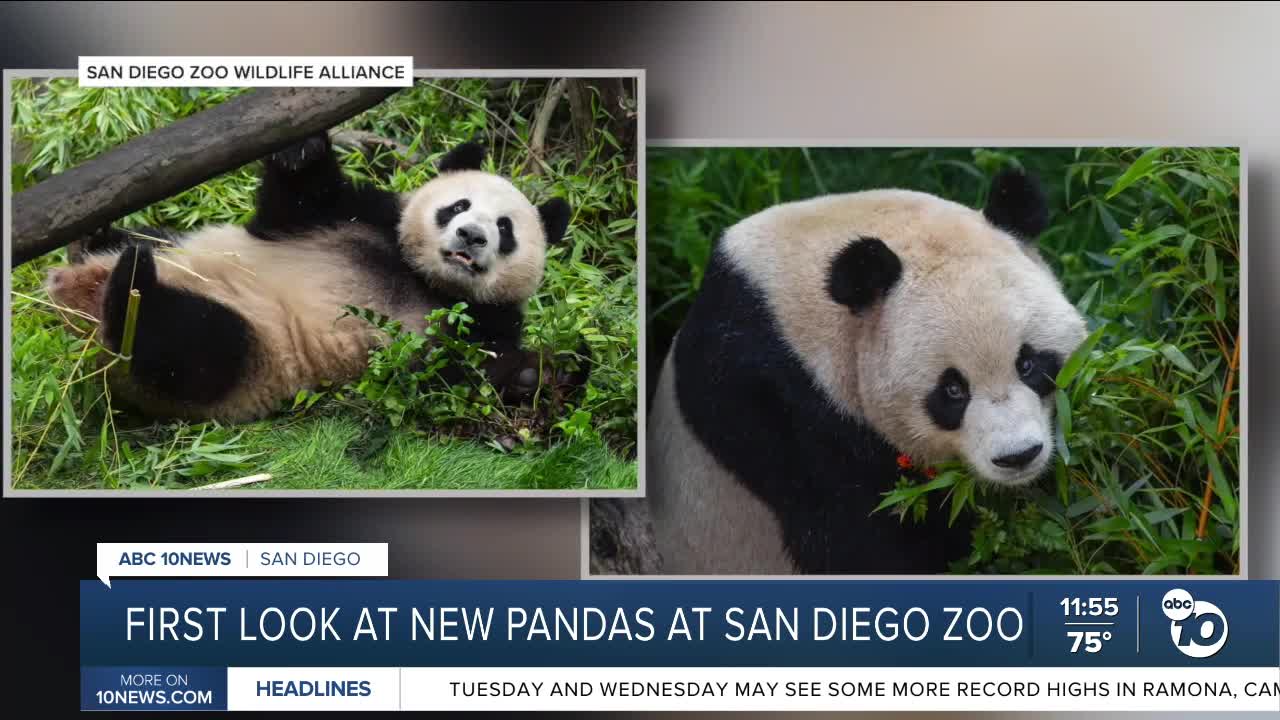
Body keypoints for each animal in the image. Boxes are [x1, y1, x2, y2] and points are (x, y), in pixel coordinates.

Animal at [43, 135, 574, 423]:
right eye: (458, 205)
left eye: (505, 229)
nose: (471, 235)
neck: (424, 279)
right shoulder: (359, 217)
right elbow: (295, 202)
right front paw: (301, 149)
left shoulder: (480, 322)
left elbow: (456, 378)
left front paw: (546, 371)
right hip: (178, 247)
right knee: (148, 246)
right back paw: (96, 243)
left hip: (253, 355)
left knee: (188, 345)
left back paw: (128, 292)